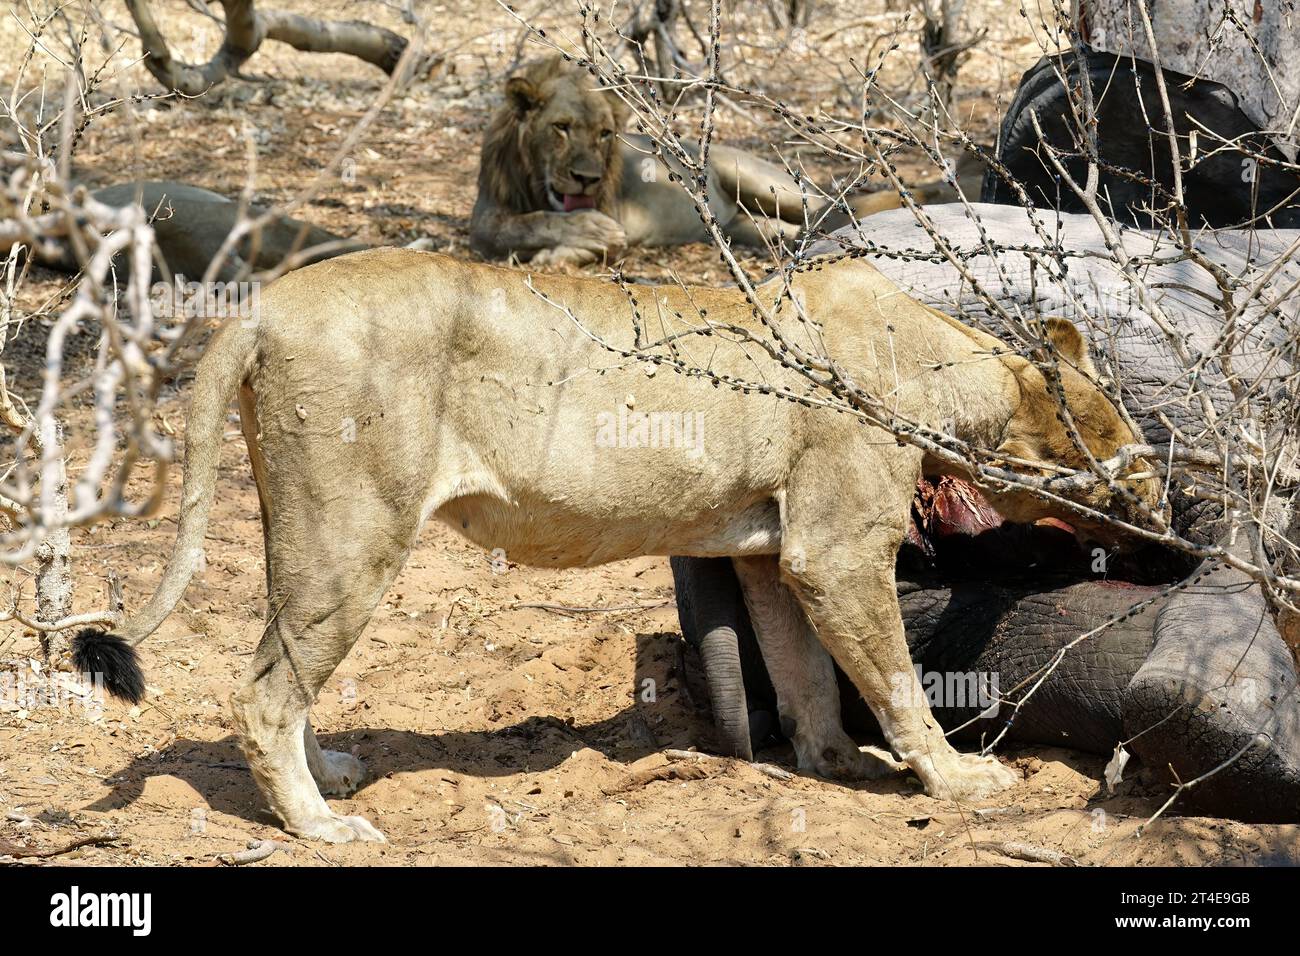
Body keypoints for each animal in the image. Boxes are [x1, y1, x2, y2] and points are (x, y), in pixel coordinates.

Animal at [74, 248, 1157, 843]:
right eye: (1123, 454)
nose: (1167, 498)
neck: (948, 370)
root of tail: (258, 308)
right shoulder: (838, 549)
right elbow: (893, 679)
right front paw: (957, 779)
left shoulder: (775, 552)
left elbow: (804, 670)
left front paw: (830, 759)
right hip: (356, 528)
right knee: (260, 691)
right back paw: (319, 824)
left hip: (302, 527)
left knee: (280, 668)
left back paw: (329, 772)